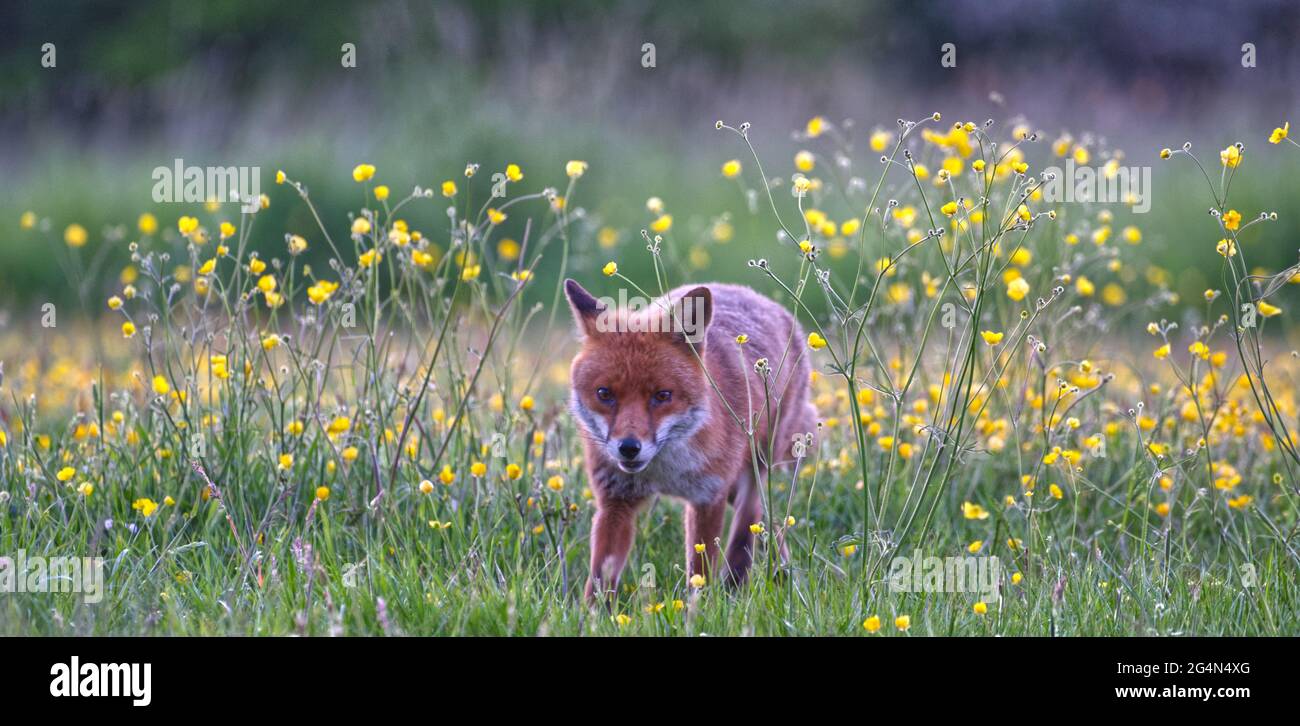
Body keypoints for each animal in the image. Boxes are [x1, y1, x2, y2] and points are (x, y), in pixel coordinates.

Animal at [564, 278, 817, 603]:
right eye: (604, 393)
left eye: (662, 395)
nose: (629, 448)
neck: (664, 470)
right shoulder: (615, 500)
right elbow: (600, 577)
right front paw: (593, 613)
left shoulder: (707, 497)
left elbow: (700, 573)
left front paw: (699, 611)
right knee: (766, 522)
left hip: (754, 468)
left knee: (749, 521)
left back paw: (738, 583)